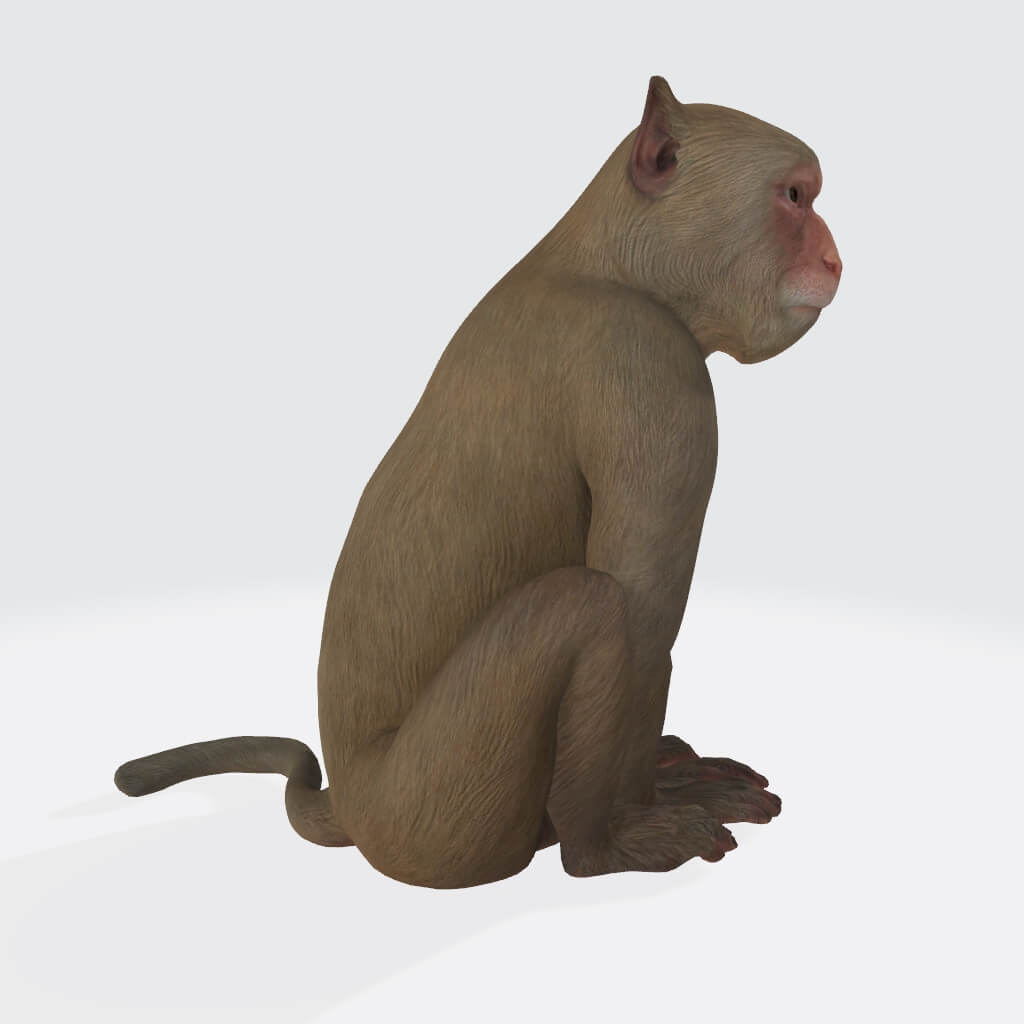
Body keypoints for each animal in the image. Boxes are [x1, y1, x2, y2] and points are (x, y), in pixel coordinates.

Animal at [115, 76, 841, 888]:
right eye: (795, 197)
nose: (834, 258)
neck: (609, 263)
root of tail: (354, 806)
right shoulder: (649, 370)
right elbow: (640, 609)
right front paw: (617, 831)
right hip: (435, 812)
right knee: (584, 604)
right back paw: (584, 843)